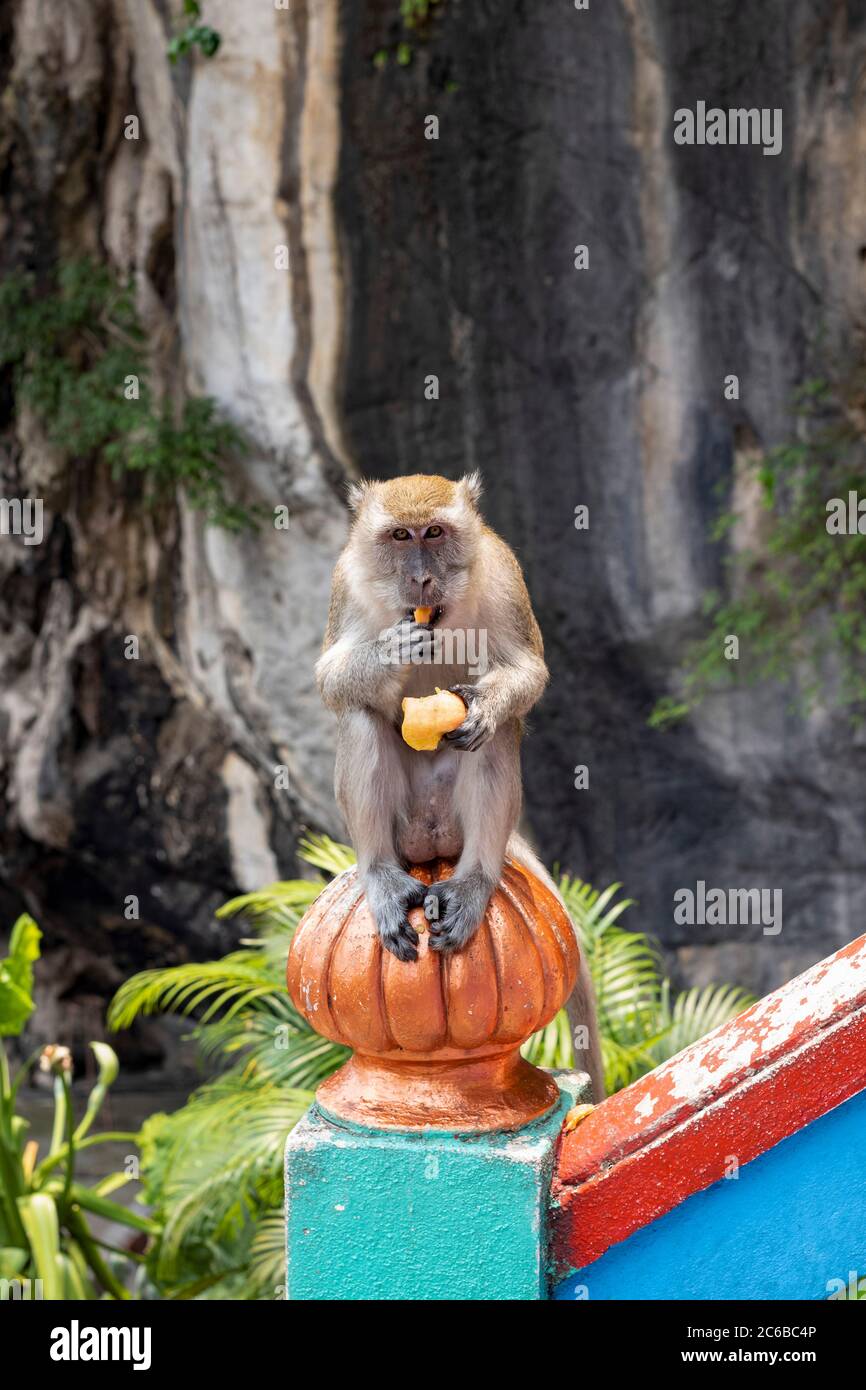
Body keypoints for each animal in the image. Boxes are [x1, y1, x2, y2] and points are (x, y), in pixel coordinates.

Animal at [316, 472, 605, 1100]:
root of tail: (431, 845)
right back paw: (380, 873)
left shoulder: (501, 572)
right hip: (404, 829)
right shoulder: (345, 578)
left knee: (493, 738)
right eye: (400, 536)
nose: (421, 577)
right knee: (359, 716)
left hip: (453, 822)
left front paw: (488, 704)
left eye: (435, 533)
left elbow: (526, 671)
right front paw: (388, 652)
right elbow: (331, 680)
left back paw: (474, 879)